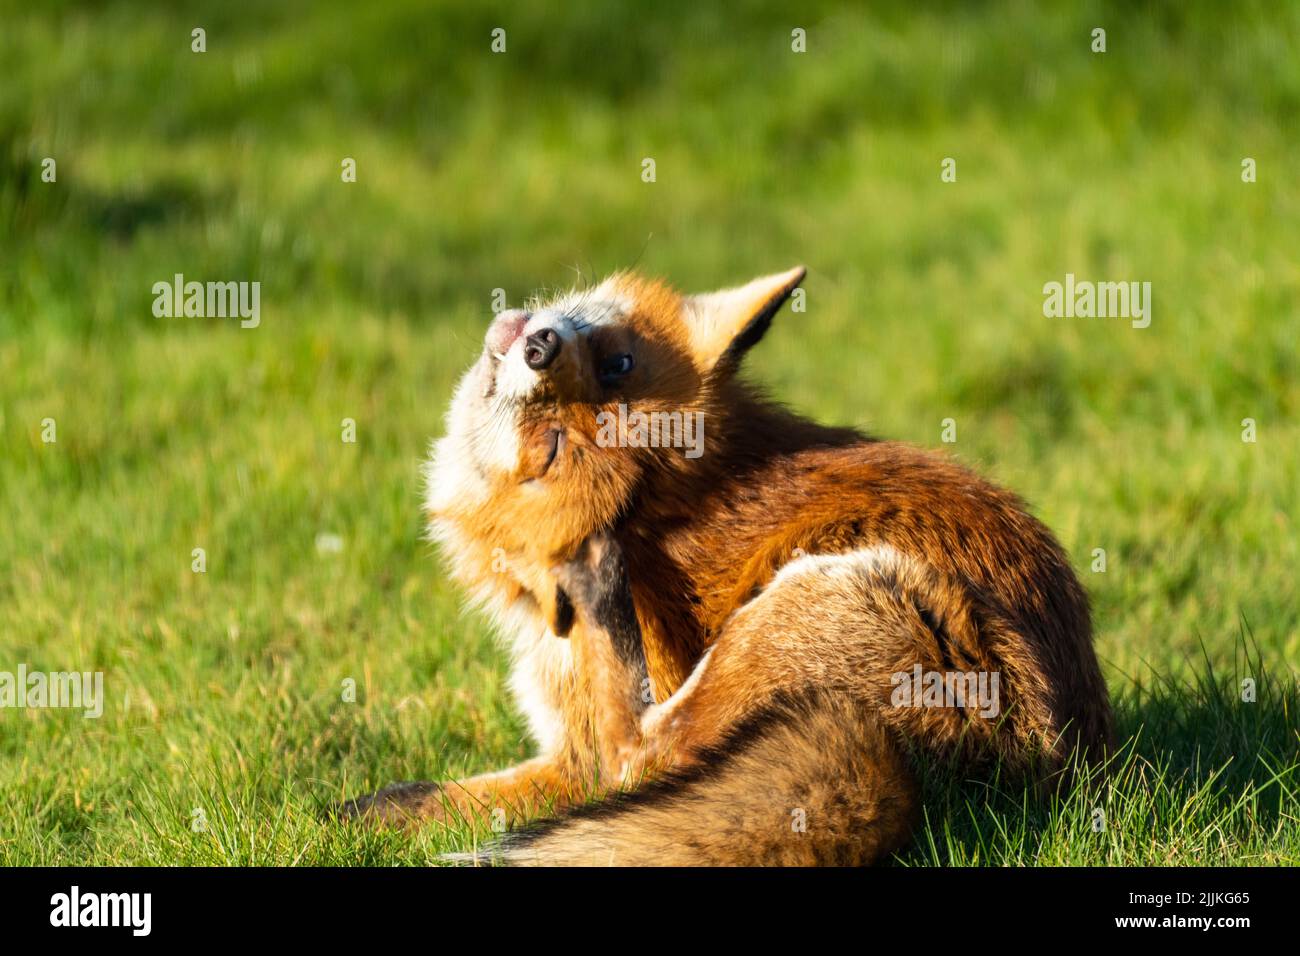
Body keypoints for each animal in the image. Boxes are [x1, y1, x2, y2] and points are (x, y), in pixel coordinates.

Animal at [342, 266, 1113, 865]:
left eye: (614, 367)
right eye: (556, 443)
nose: (538, 345)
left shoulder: (579, 753)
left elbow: (551, 785)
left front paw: (381, 815)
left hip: (792, 610)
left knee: (638, 754)